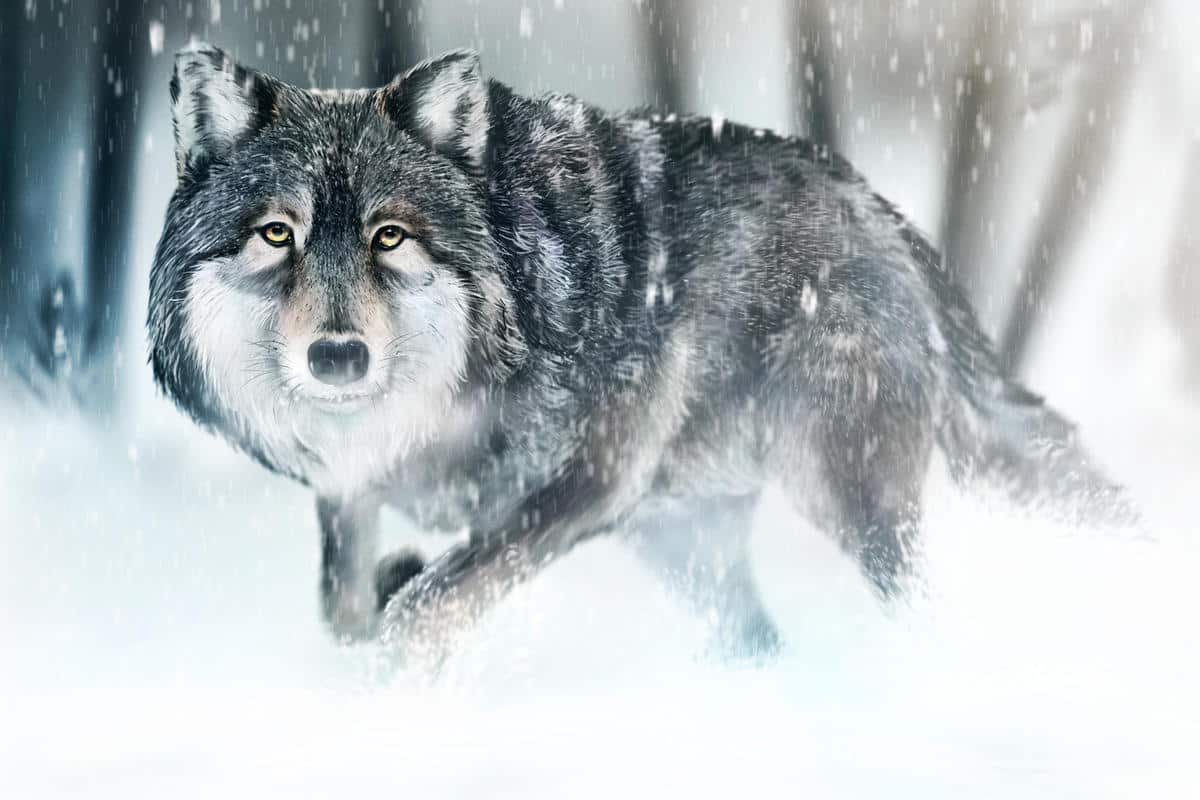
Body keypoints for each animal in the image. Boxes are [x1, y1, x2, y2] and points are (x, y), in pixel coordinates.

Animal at [148, 43, 1133, 661]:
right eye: (277, 233)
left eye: (389, 237)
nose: (338, 358)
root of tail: (880, 206)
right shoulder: (350, 491)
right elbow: (347, 609)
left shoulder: (585, 479)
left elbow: (420, 613)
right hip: (687, 552)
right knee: (758, 641)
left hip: (845, 503)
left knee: (923, 609)